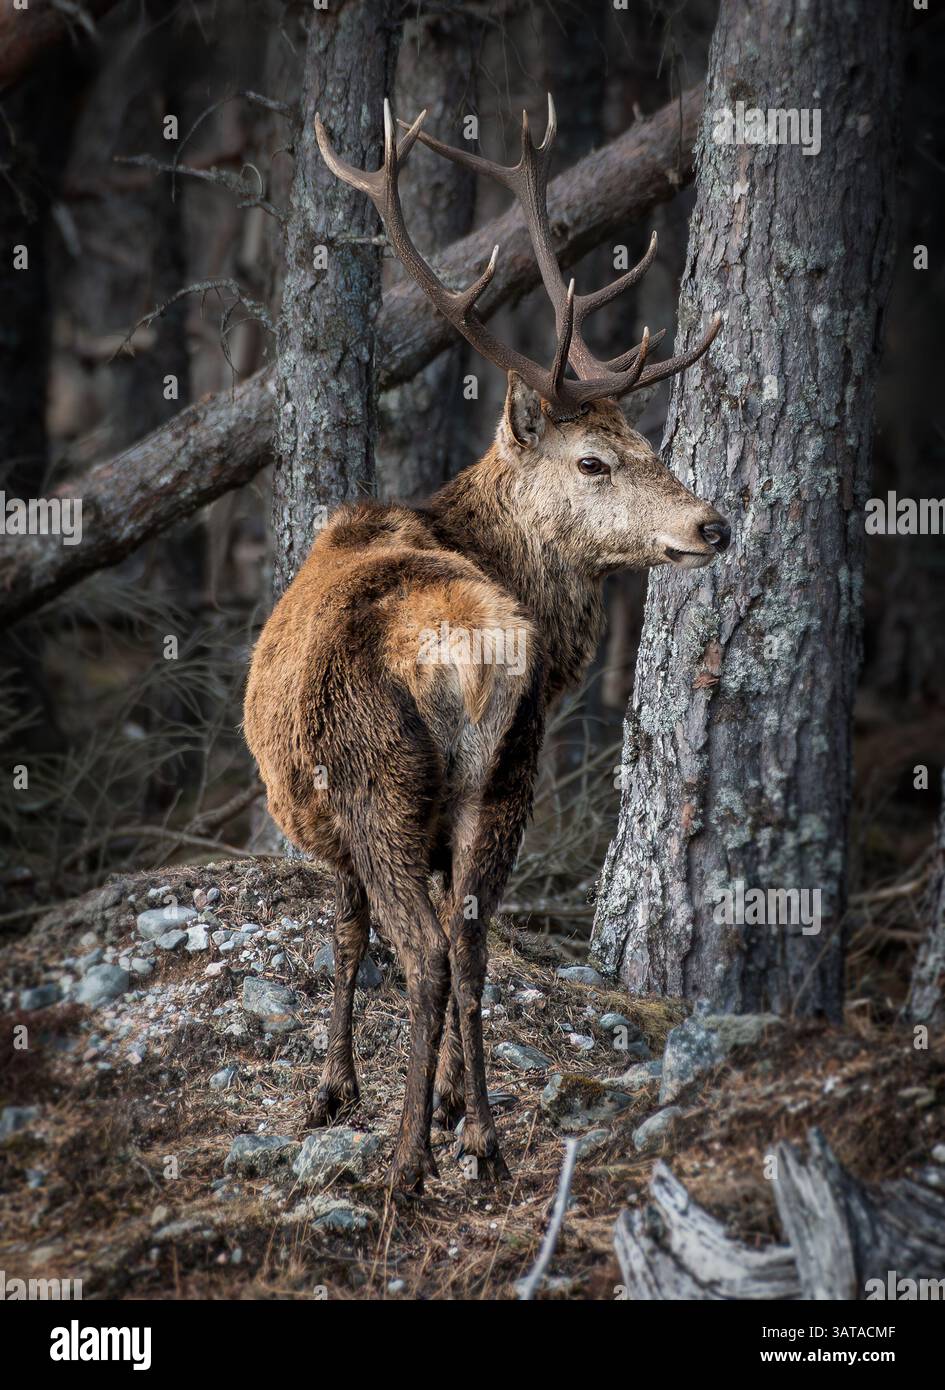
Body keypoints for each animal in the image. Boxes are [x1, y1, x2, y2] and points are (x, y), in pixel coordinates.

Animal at [243, 97, 730, 1194]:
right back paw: (484, 1140)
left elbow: (345, 936)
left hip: (375, 777)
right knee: (471, 945)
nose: (713, 524)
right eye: (597, 459)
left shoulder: (328, 824)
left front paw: (333, 1091)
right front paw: (457, 1102)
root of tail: (469, 653)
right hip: (506, 776)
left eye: (649, 447)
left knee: (425, 953)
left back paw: (407, 1162)